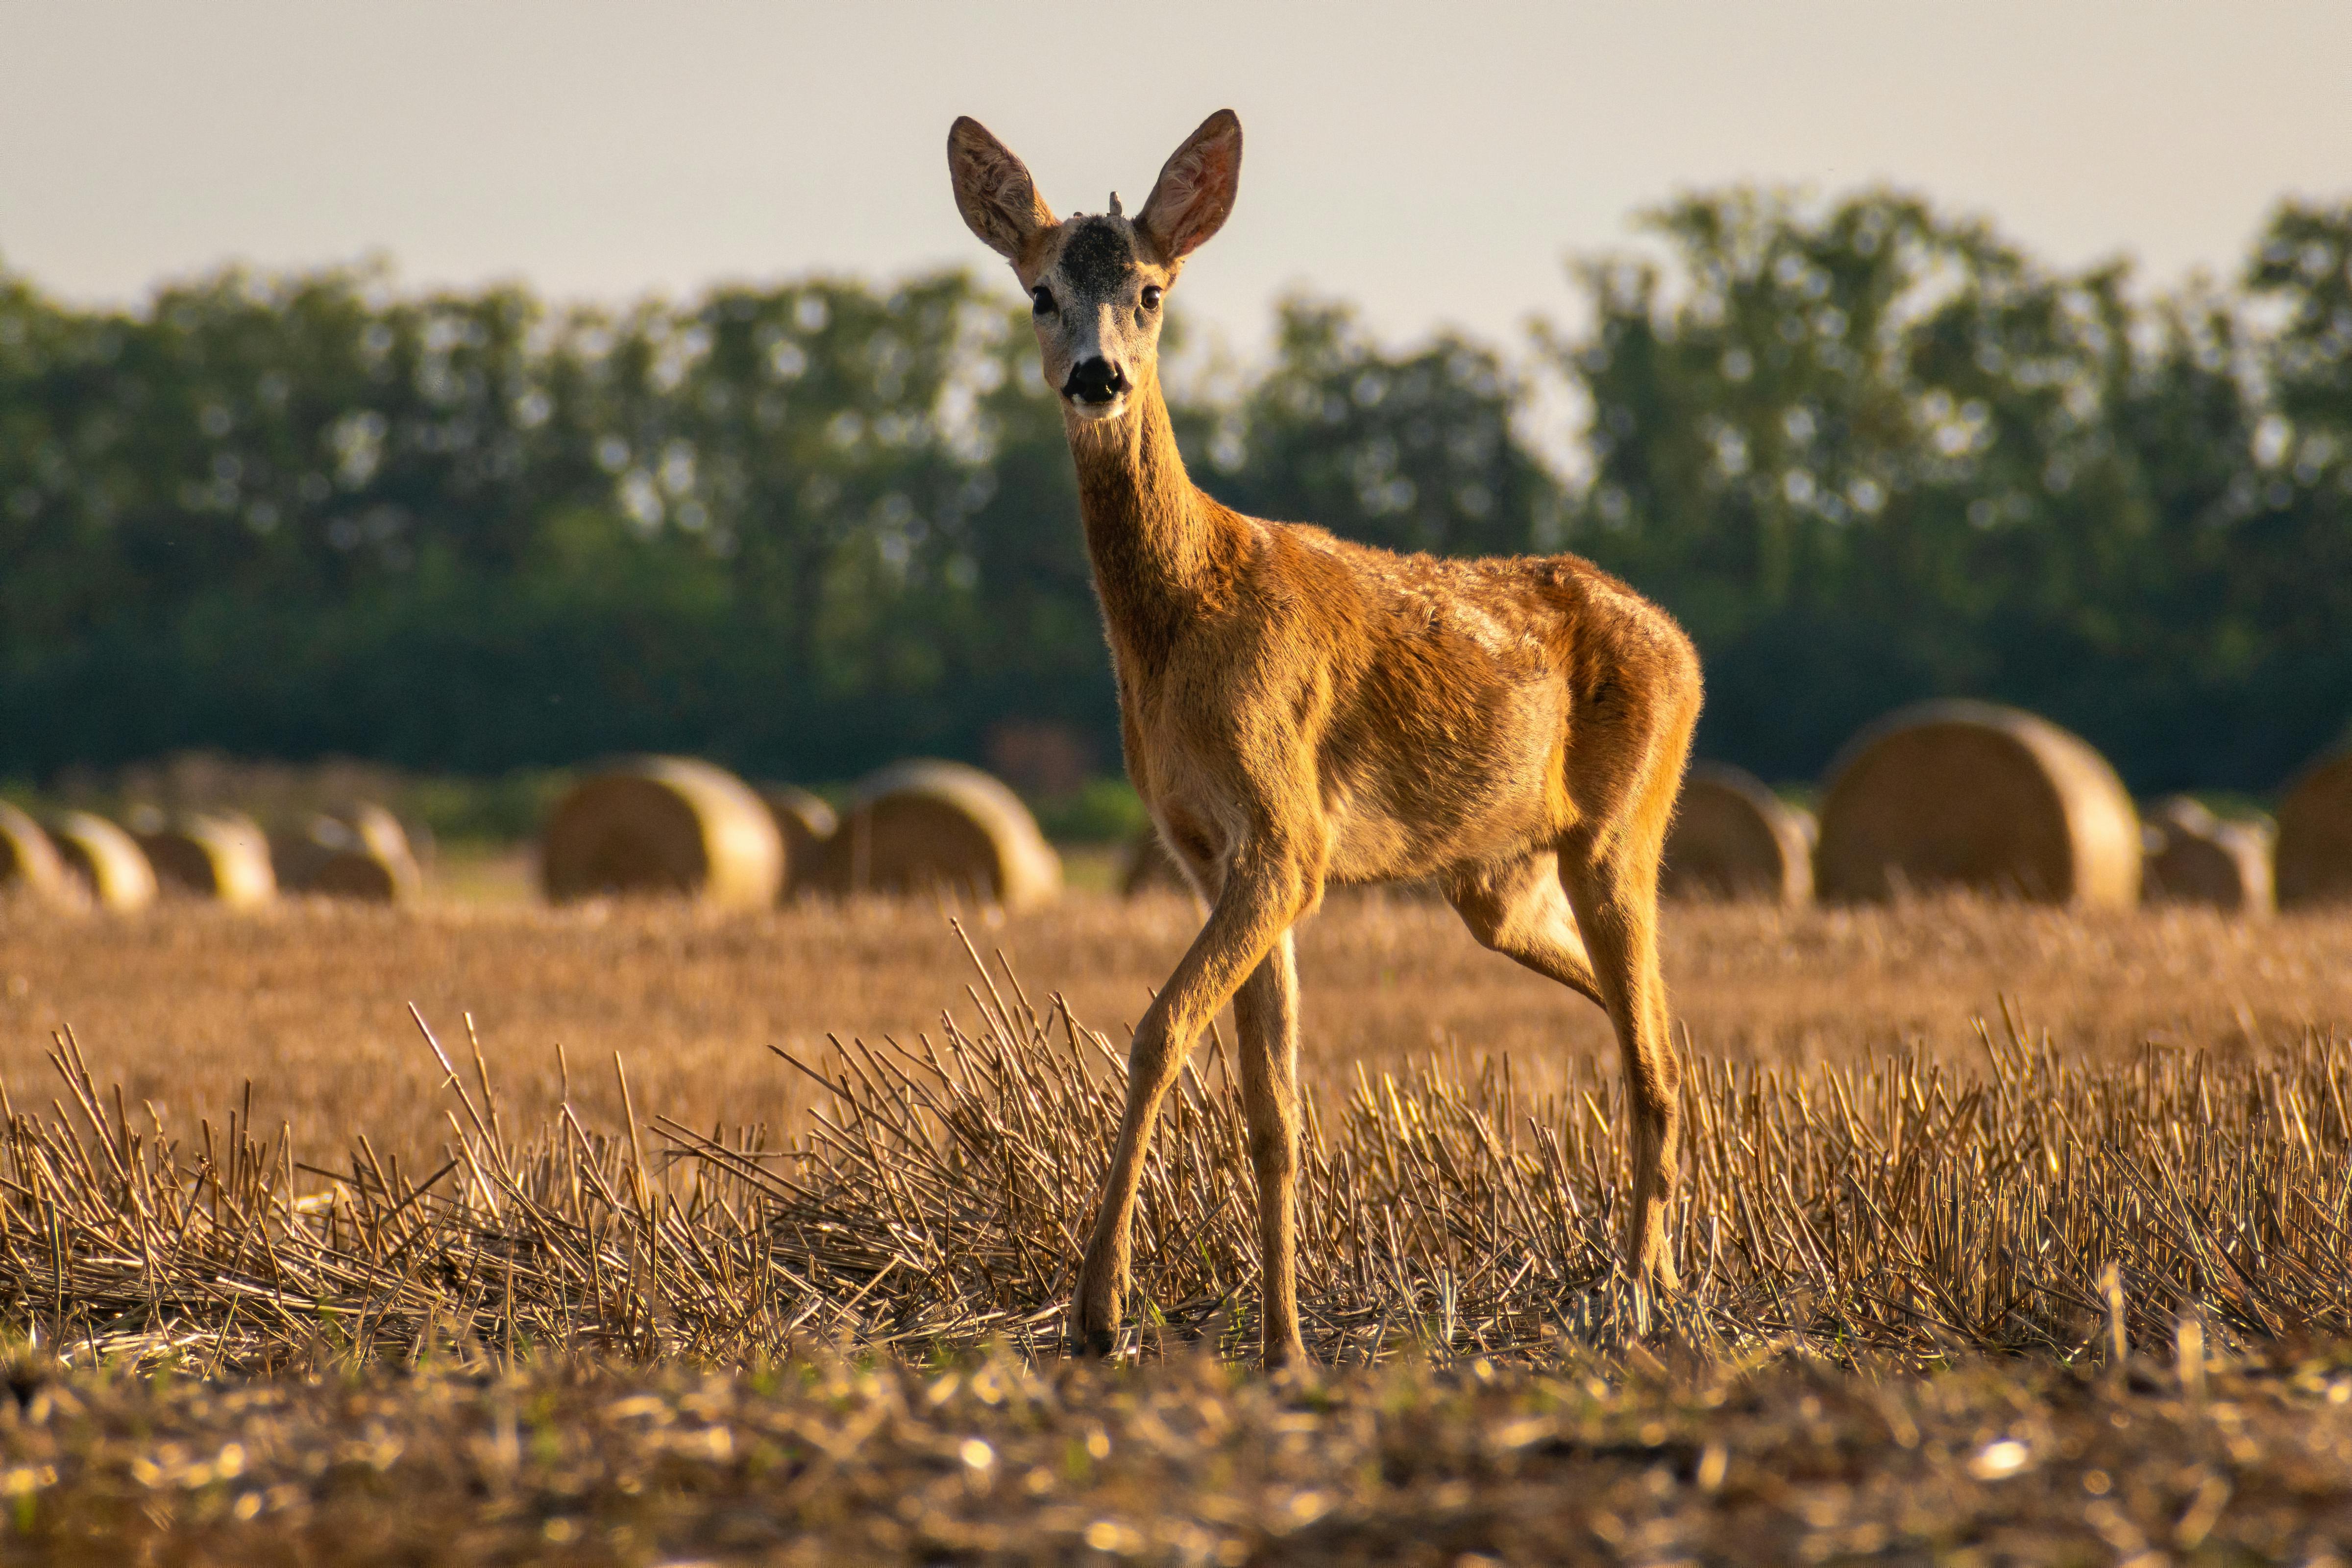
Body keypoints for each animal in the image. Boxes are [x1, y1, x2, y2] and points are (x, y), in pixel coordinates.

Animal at [947, 109, 1703, 1370]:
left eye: (1150, 290)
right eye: (1039, 292)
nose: (1098, 377)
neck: (1184, 618)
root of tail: (1683, 644)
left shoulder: (1285, 834)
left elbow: (1156, 1033)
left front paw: (1099, 1315)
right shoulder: (1216, 852)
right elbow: (1273, 1110)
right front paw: (1281, 1343)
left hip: (1620, 828)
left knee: (1647, 1046)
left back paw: (1639, 1293)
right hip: (1494, 881)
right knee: (1654, 1027)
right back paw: (1667, 1267)